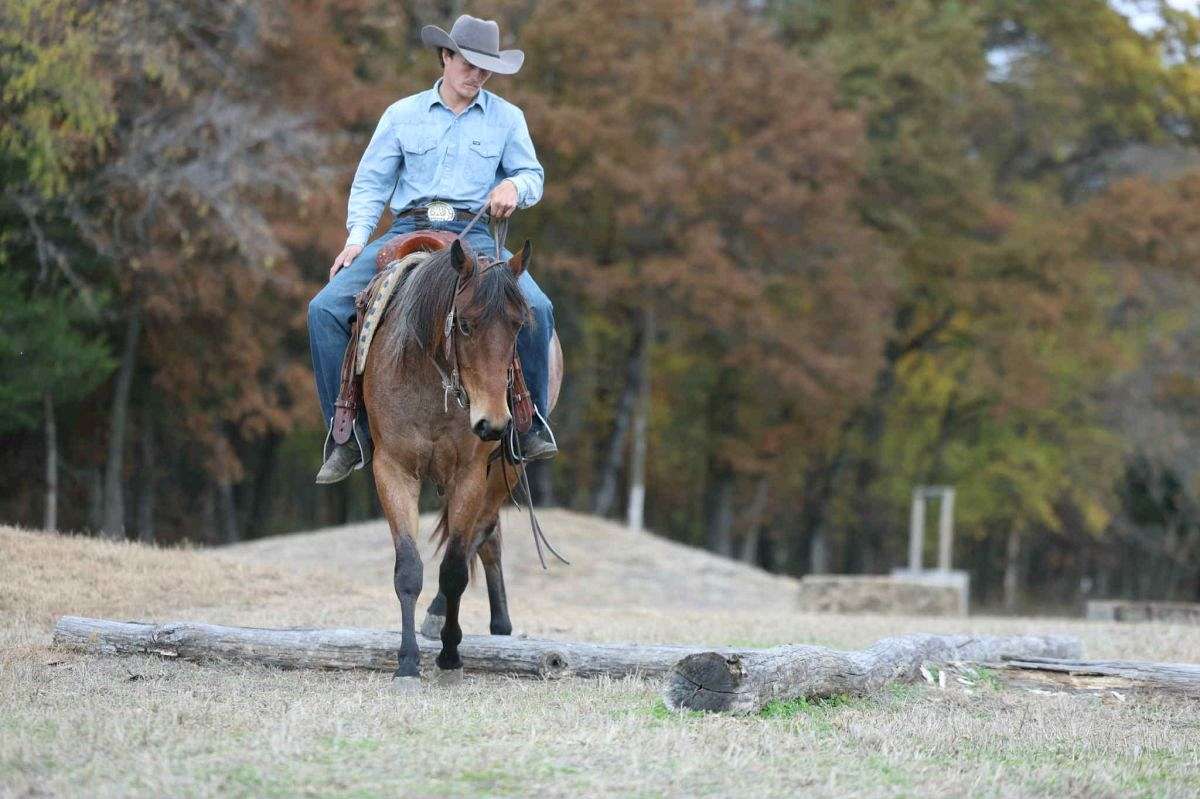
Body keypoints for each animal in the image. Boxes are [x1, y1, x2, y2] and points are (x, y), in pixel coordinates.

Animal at [362, 236, 562, 680]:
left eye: (519, 326)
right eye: (466, 324)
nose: (494, 423)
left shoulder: (472, 474)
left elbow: (453, 567)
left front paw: (450, 655)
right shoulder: (393, 469)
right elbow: (408, 569)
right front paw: (407, 663)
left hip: (506, 469)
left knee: (483, 534)